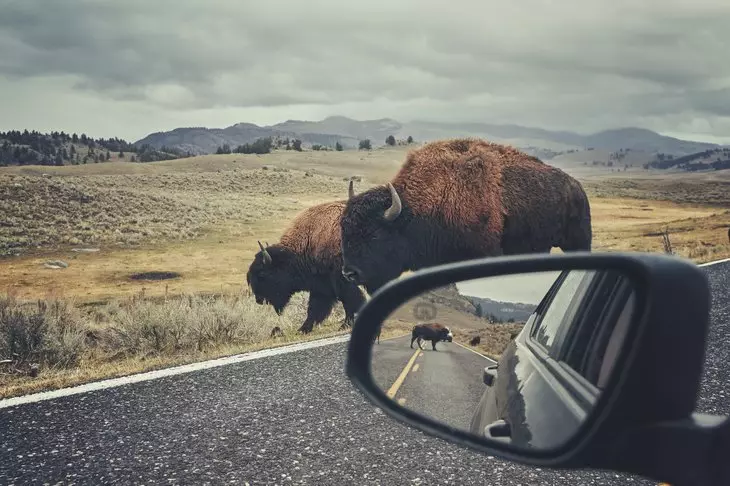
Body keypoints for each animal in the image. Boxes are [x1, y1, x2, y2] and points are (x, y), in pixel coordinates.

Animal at [247, 180, 366, 332]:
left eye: (262, 274)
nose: (259, 299)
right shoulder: (321, 285)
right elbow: (315, 308)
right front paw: (303, 329)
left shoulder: (340, 280)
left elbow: (350, 299)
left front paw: (346, 324)